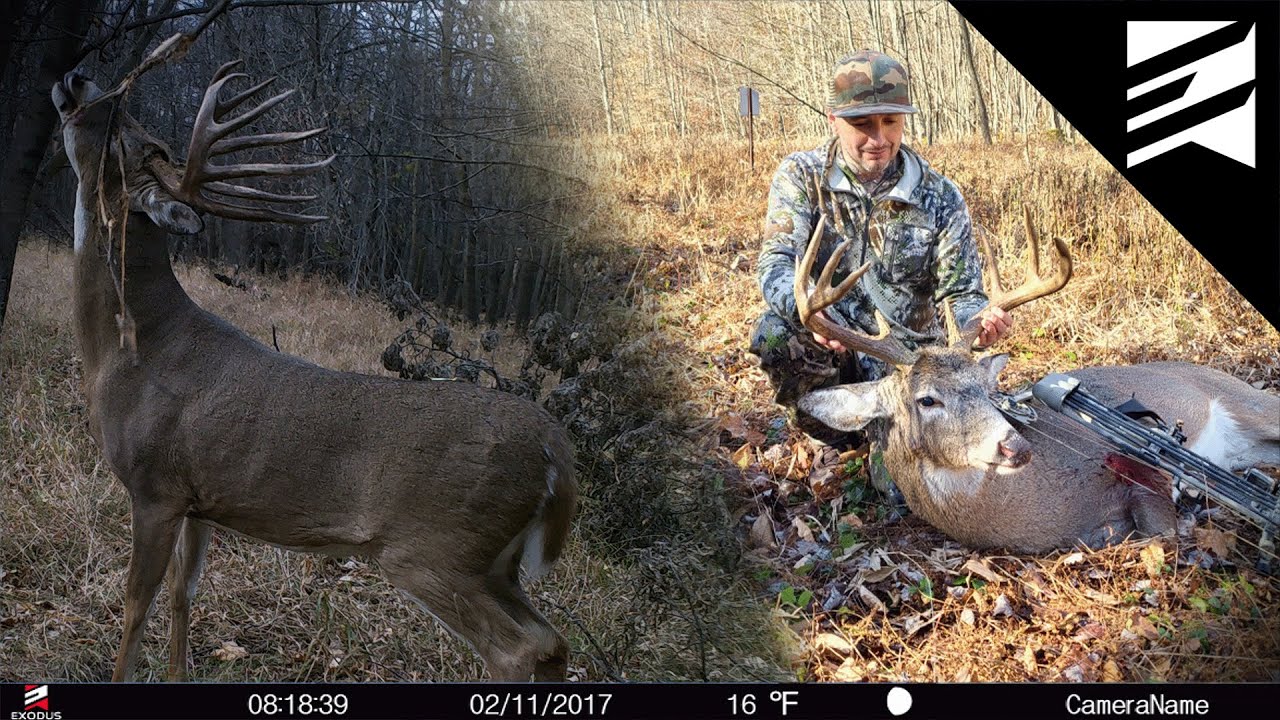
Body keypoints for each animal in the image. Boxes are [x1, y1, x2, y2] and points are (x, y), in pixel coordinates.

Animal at [51, 59, 577, 682]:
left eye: (124, 134)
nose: (76, 78)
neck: (130, 350)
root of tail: (556, 449)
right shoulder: (199, 498)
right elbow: (185, 591)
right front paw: (179, 673)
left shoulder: (154, 485)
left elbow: (136, 605)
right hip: (497, 562)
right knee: (553, 639)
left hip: (437, 547)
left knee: (518, 648)